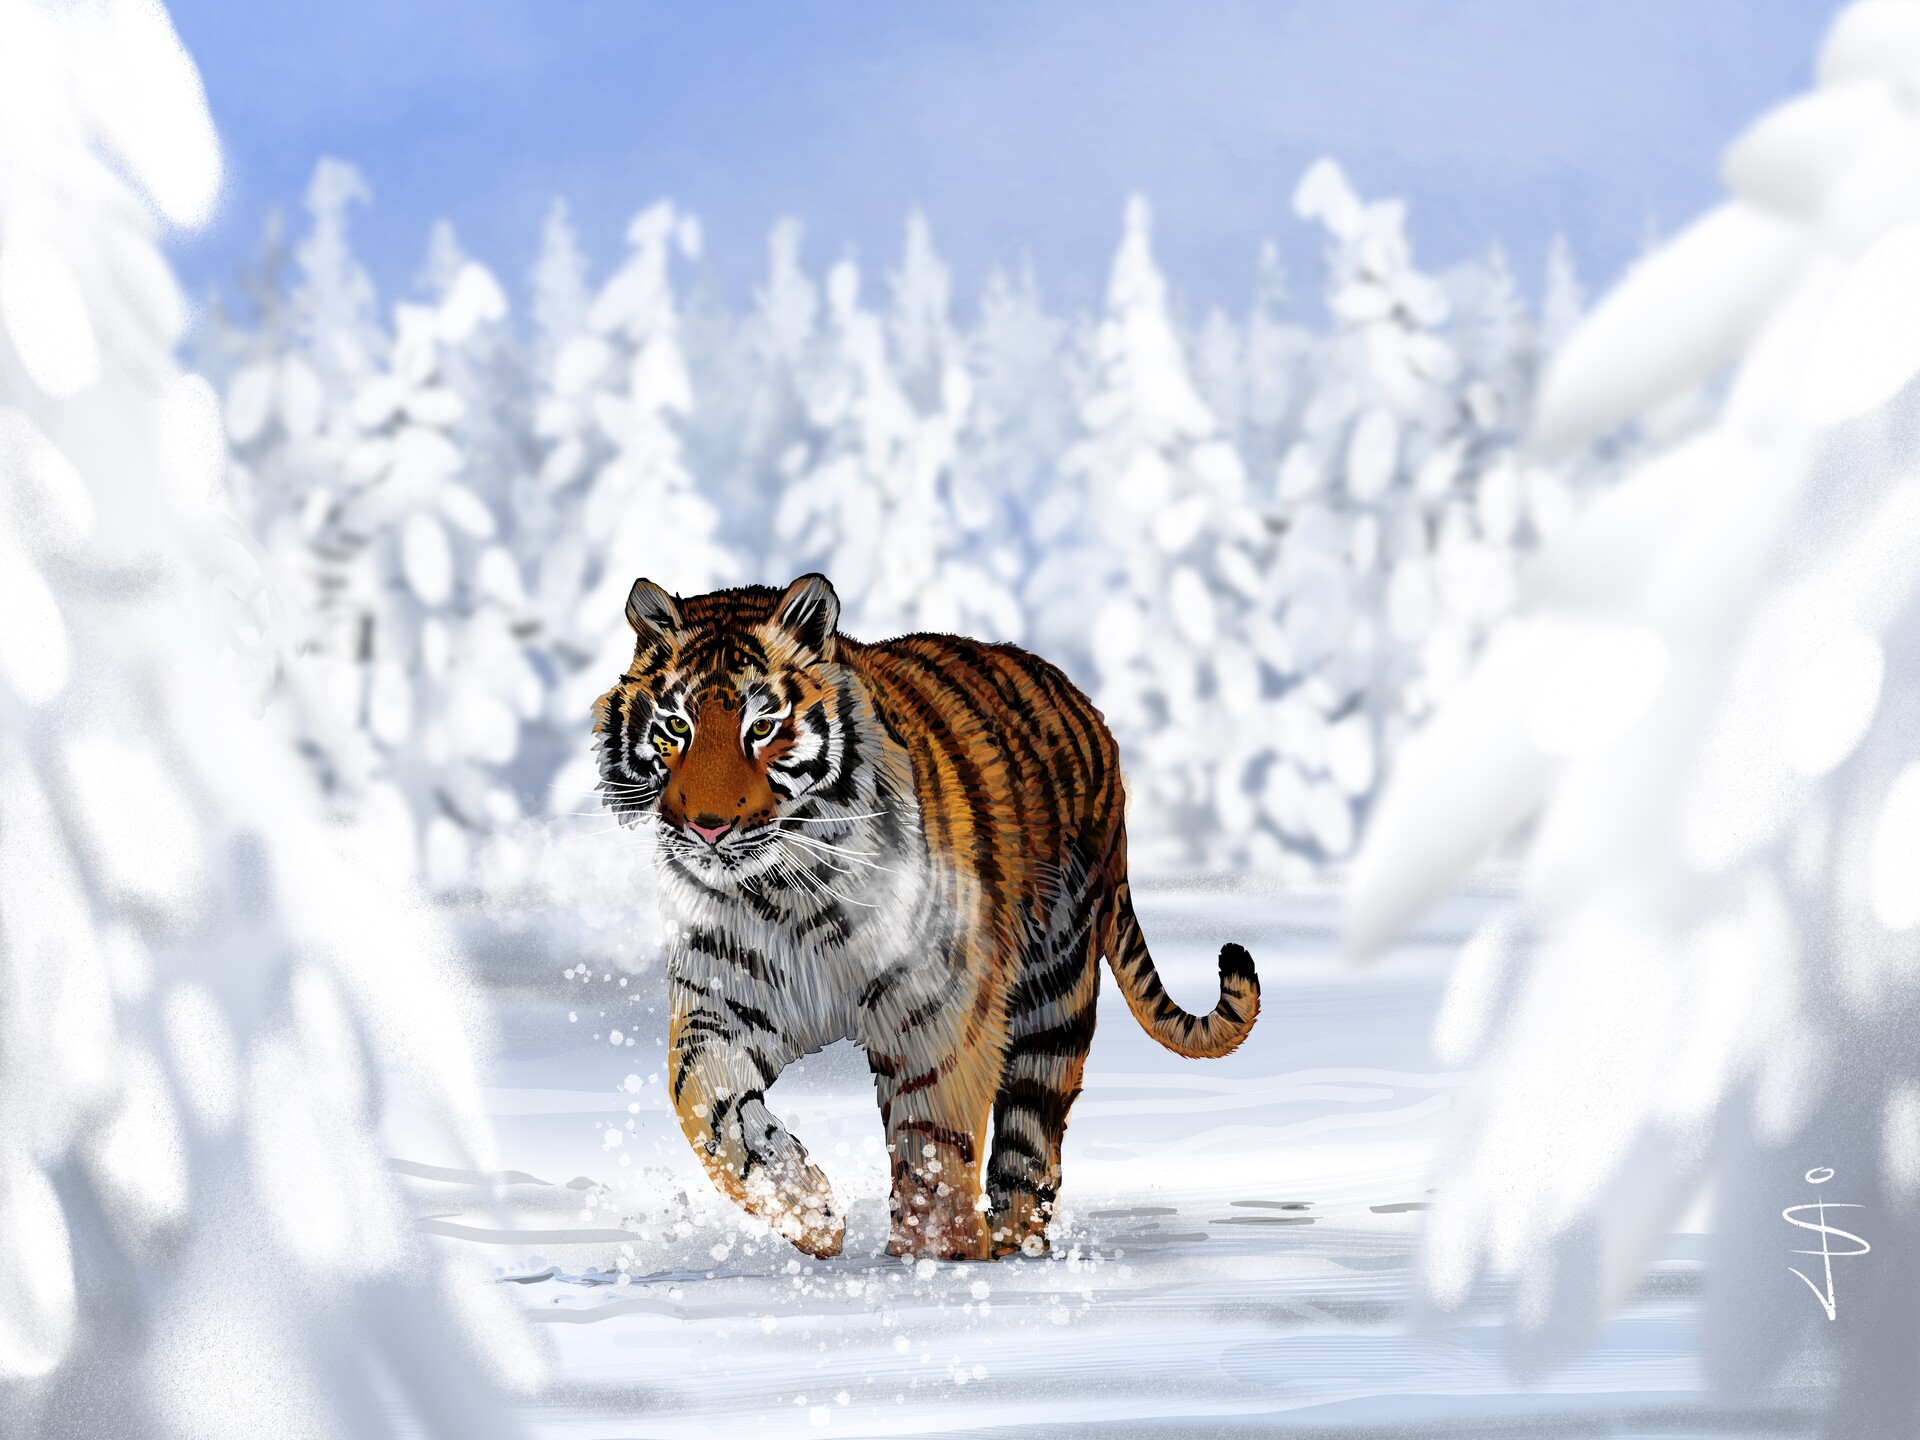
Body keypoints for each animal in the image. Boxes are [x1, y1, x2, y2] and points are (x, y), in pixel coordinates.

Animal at [594, 572, 1260, 1261]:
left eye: (764, 726)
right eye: (675, 726)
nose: (707, 826)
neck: (785, 893)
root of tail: (1080, 702)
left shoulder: (937, 1004)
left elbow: (934, 1138)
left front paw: (933, 1261)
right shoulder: (721, 999)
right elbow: (705, 1104)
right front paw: (812, 1212)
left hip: (1055, 989)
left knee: (1031, 1138)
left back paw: (1014, 1250)